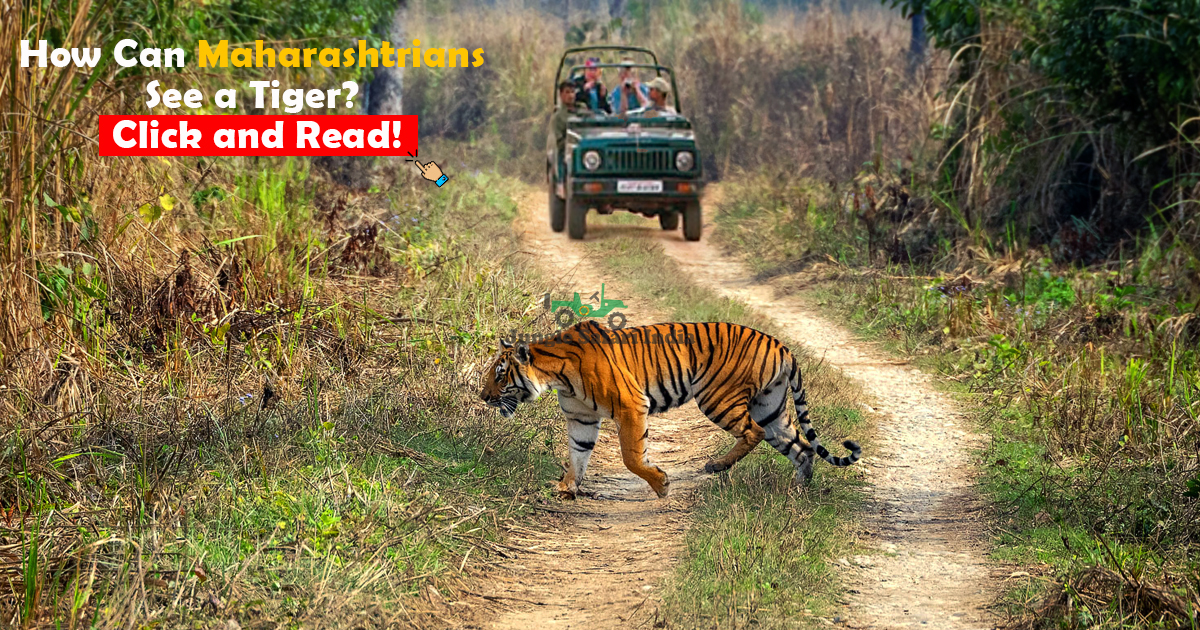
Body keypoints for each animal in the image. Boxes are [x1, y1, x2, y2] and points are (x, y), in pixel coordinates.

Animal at [479, 320, 861, 498]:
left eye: (500, 375)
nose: (482, 396)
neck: (556, 375)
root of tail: (782, 345)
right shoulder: (581, 419)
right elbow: (577, 455)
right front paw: (567, 487)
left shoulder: (631, 405)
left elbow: (632, 457)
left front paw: (661, 485)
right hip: (771, 409)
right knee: (802, 448)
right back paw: (798, 490)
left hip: (717, 398)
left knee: (752, 432)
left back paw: (716, 466)